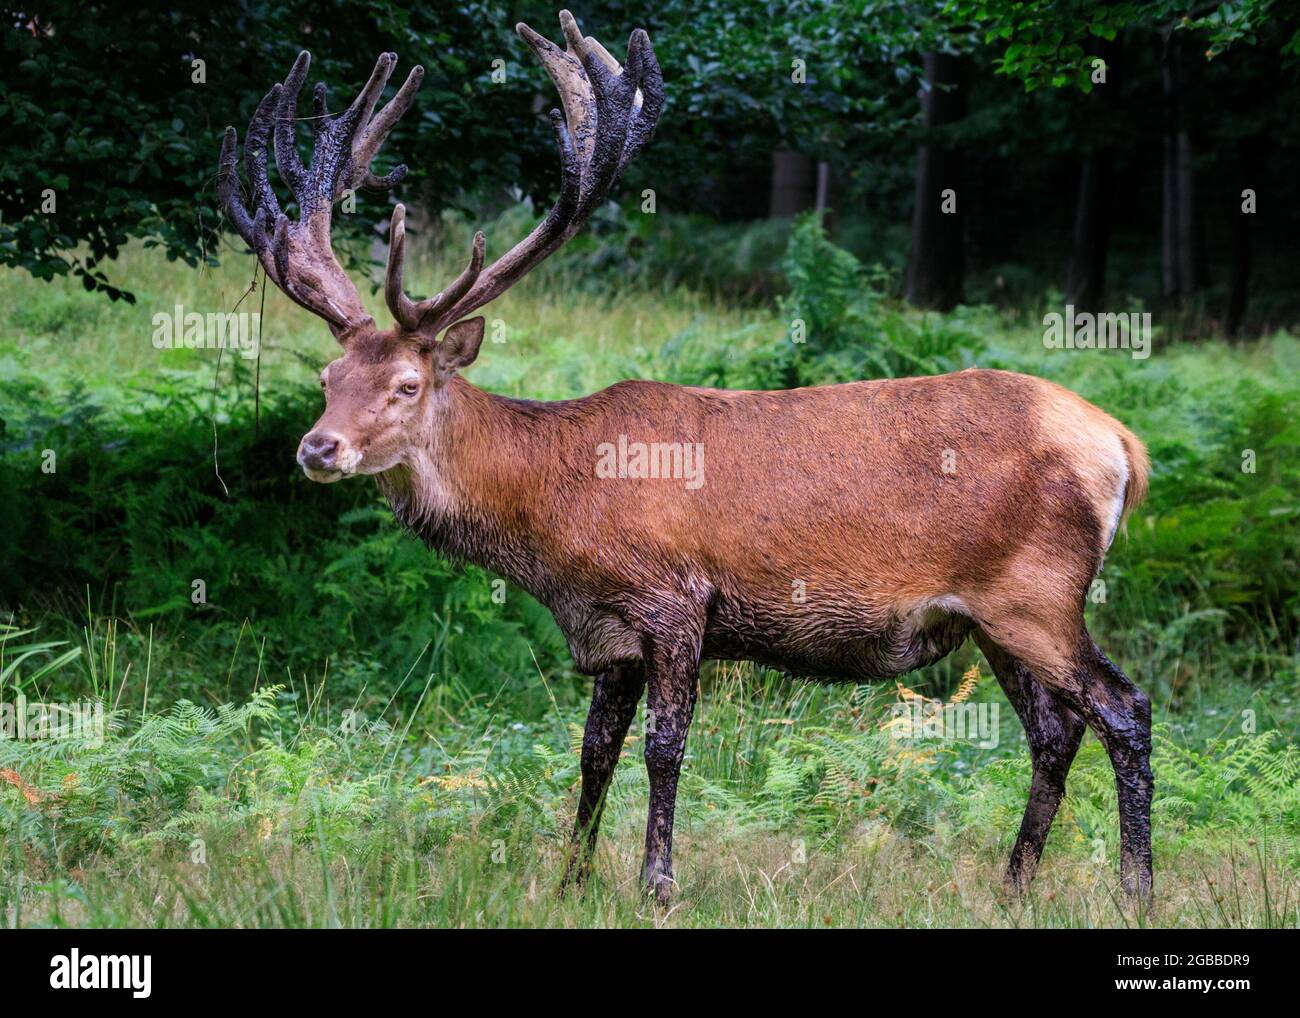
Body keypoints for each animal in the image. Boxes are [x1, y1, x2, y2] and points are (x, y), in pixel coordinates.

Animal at [218, 10, 1153, 905]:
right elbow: (593, 750)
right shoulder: (609, 632)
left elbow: (664, 747)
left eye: (407, 384)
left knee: (1124, 708)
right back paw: (1015, 884)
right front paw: (570, 880)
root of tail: (1122, 446)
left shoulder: (673, 598)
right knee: (1055, 730)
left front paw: (657, 883)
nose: (318, 446)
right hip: (993, 615)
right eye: (329, 377)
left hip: (1037, 591)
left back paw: (1133, 889)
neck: (553, 519)